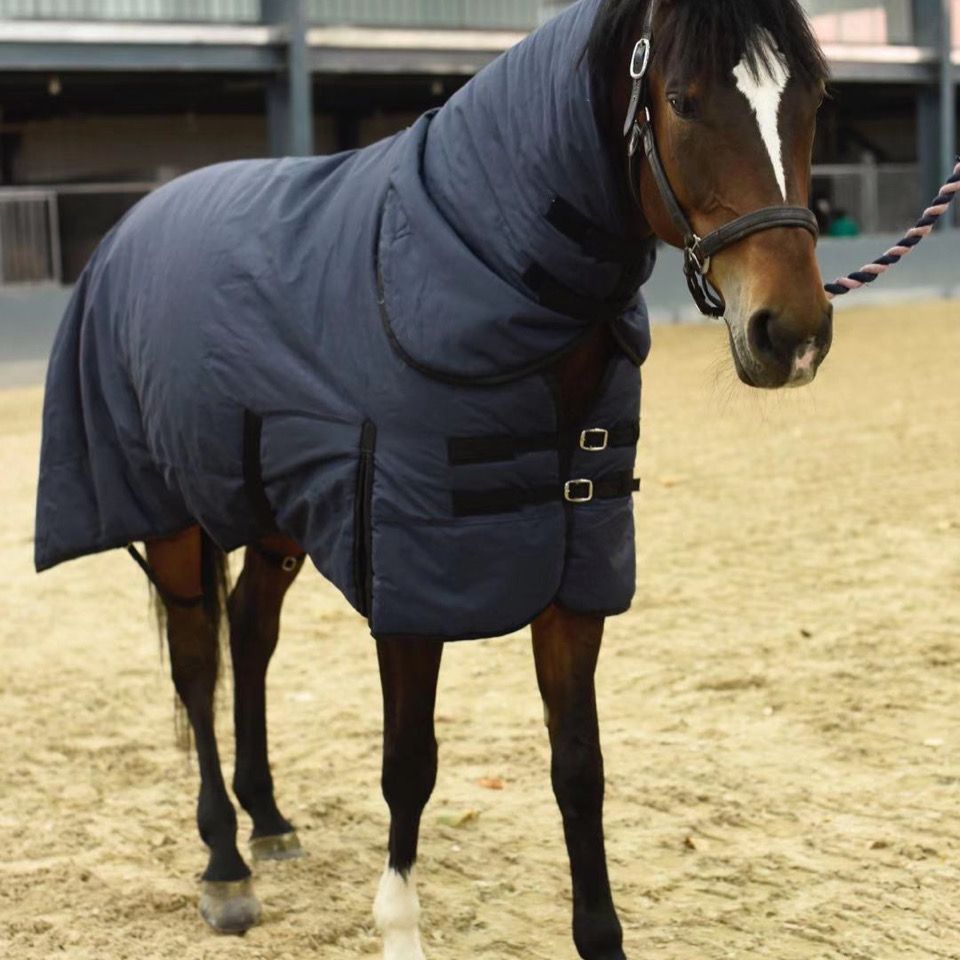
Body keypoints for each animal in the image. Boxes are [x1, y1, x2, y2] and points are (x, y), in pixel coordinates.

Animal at [34, 1, 831, 957]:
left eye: (814, 98)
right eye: (681, 99)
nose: (792, 333)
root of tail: (130, 226)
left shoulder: (573, 573)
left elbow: (579, 767)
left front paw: (599, 933)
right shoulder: (412, 583)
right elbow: (409, 765)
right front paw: (399, 927)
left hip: (273, 521)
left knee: (251, 638)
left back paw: (269, 819)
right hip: (172, 518)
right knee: (196, 667)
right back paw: (224, 863)